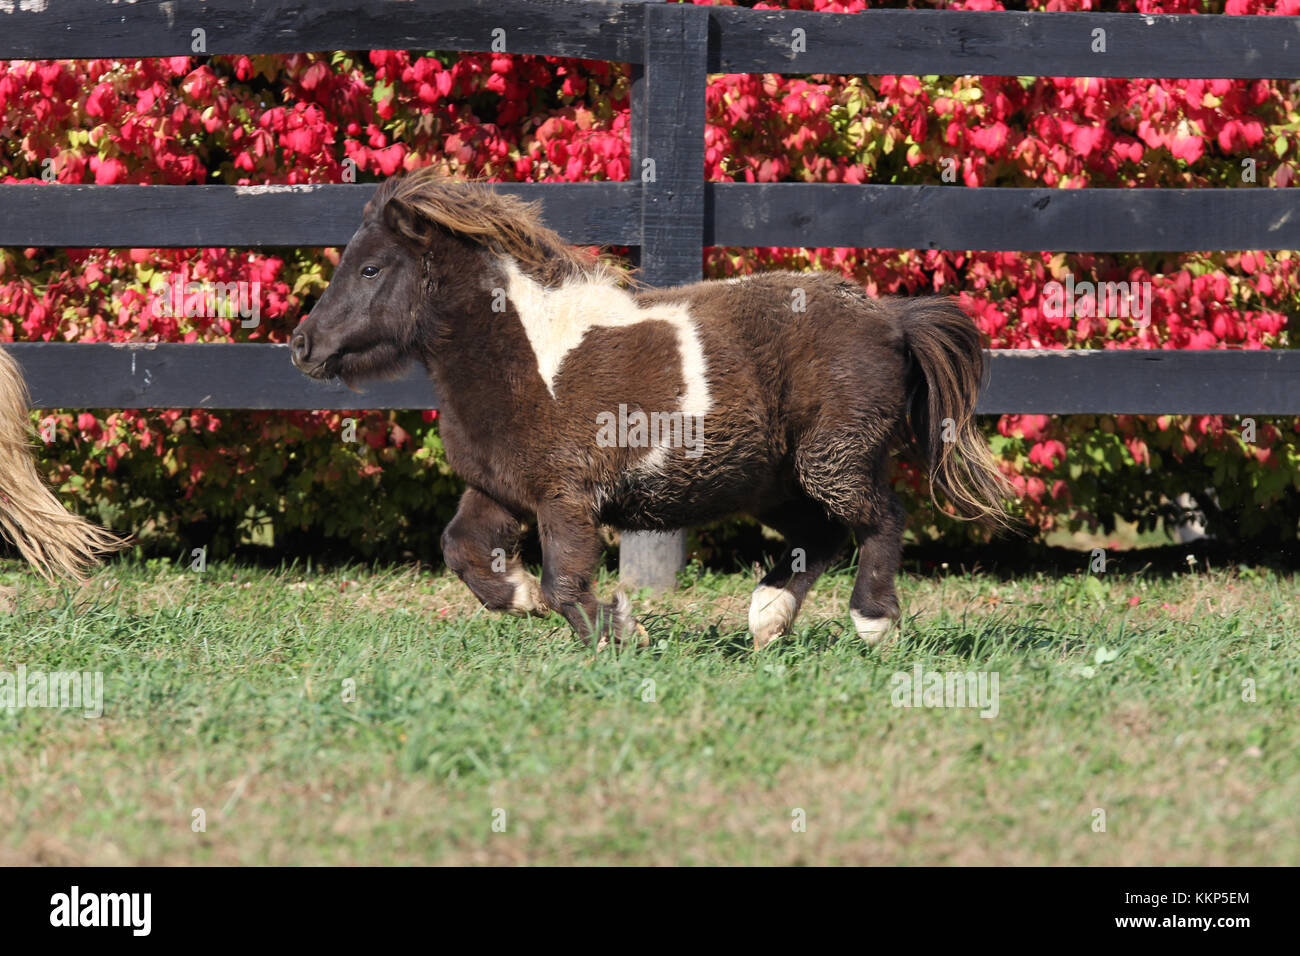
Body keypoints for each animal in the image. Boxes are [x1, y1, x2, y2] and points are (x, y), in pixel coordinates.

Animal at [291, 170, 1011, 649]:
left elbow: (564, 584)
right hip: (775, 482)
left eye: (371, 269)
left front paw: (621, 634)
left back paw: (872, 622)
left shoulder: (565, 496)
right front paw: (521, 598)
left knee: (882, 519)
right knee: (823, 533)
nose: (302, 344)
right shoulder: (499, 490)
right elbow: (463, 550)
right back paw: (767, 619)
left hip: (833, 459)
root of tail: (891, 319)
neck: (519, 352)